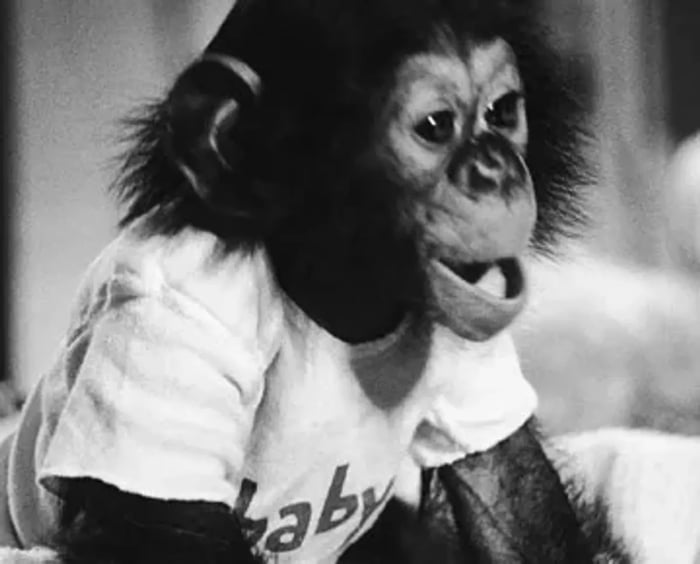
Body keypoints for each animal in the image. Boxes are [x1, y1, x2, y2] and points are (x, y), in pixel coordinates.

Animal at [0, 0, 631, 562]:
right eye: (435, 126)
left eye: (501, 113)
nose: (497, 169)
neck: (330, 300)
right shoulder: (170, 322)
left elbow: (505, 497)